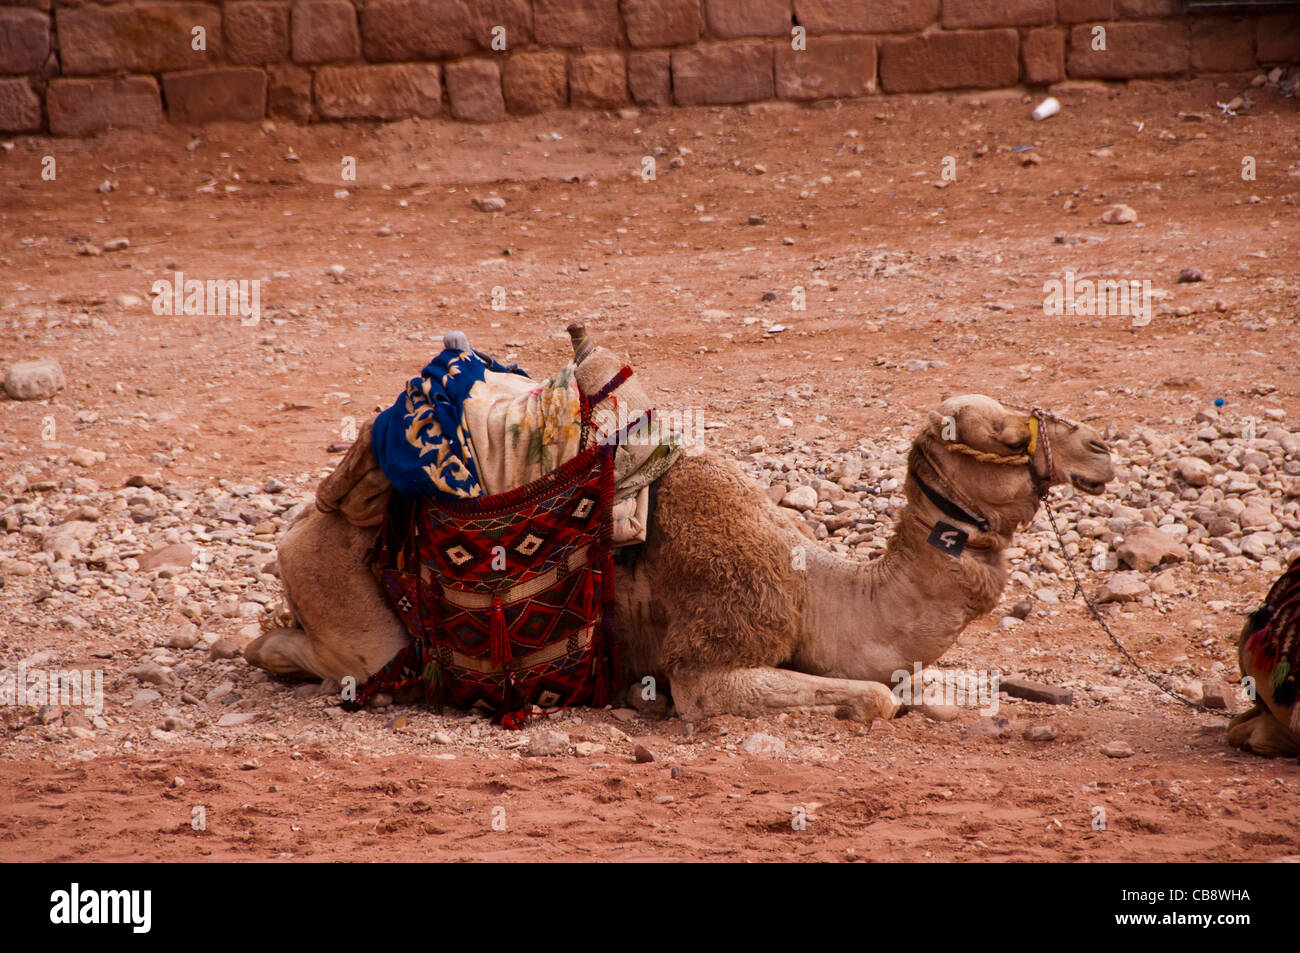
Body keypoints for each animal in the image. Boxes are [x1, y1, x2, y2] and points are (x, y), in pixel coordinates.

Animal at [245, 385, 1116, 723]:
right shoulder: (712, 658)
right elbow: (873, 696)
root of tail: (298, 528)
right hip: (363, 630)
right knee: (307, 650)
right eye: (1003, 432)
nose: (1101, 448)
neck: (816, 587)